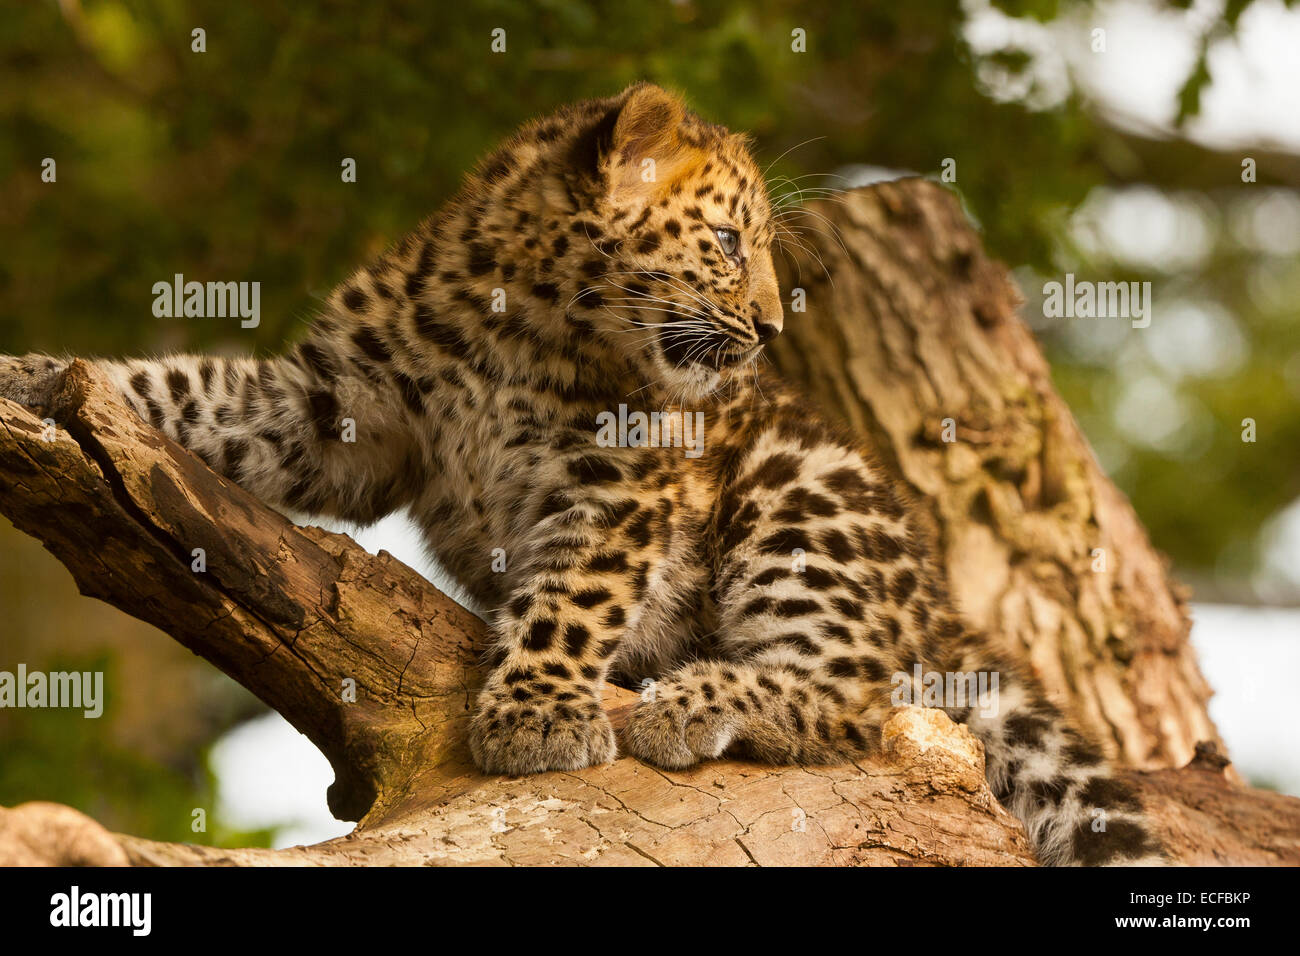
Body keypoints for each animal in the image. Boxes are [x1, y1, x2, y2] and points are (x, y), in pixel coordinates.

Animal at [0, 82, 1163, 865]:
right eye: (729, 242)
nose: (774, 327)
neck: (510, 321)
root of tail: (934, 597)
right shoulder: (334, 414)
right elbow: (191, 390)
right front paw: (41, 377)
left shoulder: (621, 480)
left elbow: (570, 598)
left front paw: (534, 713)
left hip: (800, 480)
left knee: (861, 701)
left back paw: (692, 697)